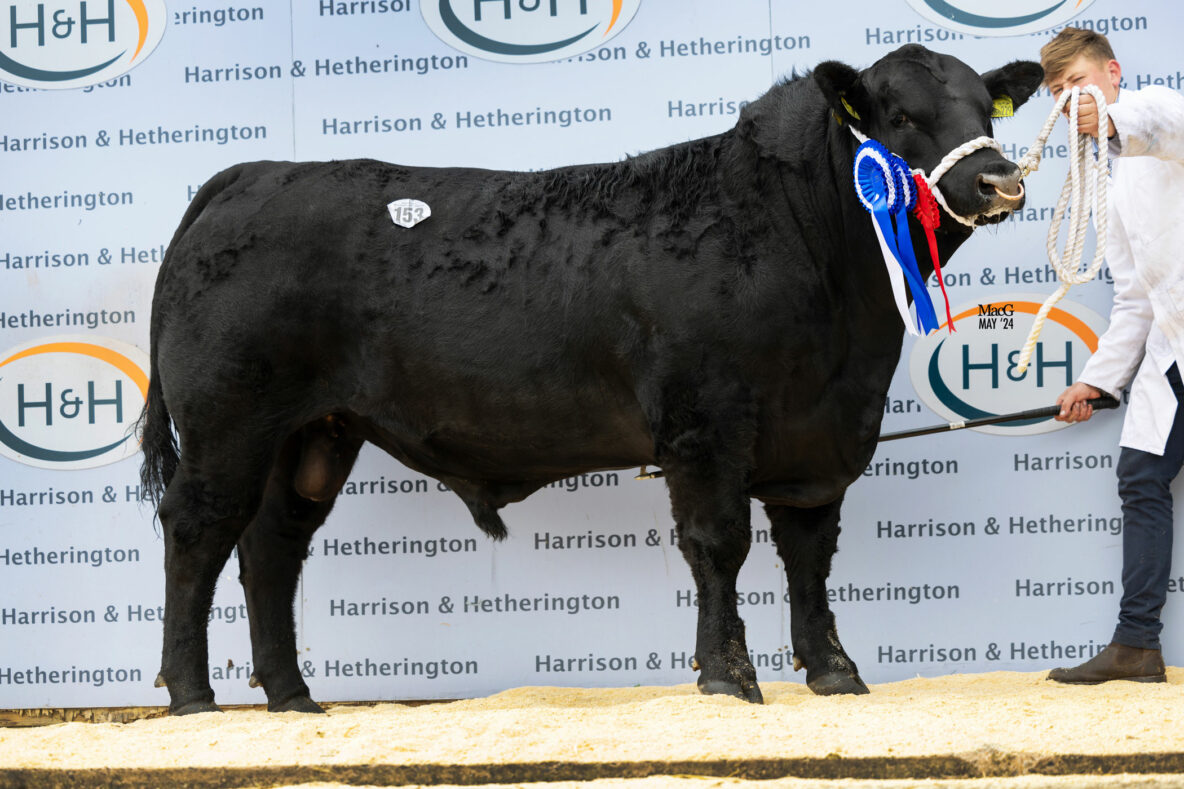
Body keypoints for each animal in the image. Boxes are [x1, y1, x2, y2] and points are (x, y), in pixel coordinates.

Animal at [139, 44, 1043, 715]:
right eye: (901, 116)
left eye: (983, 109)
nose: (1001, 178)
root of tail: (252, 173)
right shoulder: (704, 423)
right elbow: (719, 542)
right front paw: (728, 677)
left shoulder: (818, 440)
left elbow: (809, 555)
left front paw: (834, 671)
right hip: (229, 418)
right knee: (198, 528)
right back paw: (191, 696)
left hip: (313, 432)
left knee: (272, 544)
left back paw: (293, 698)